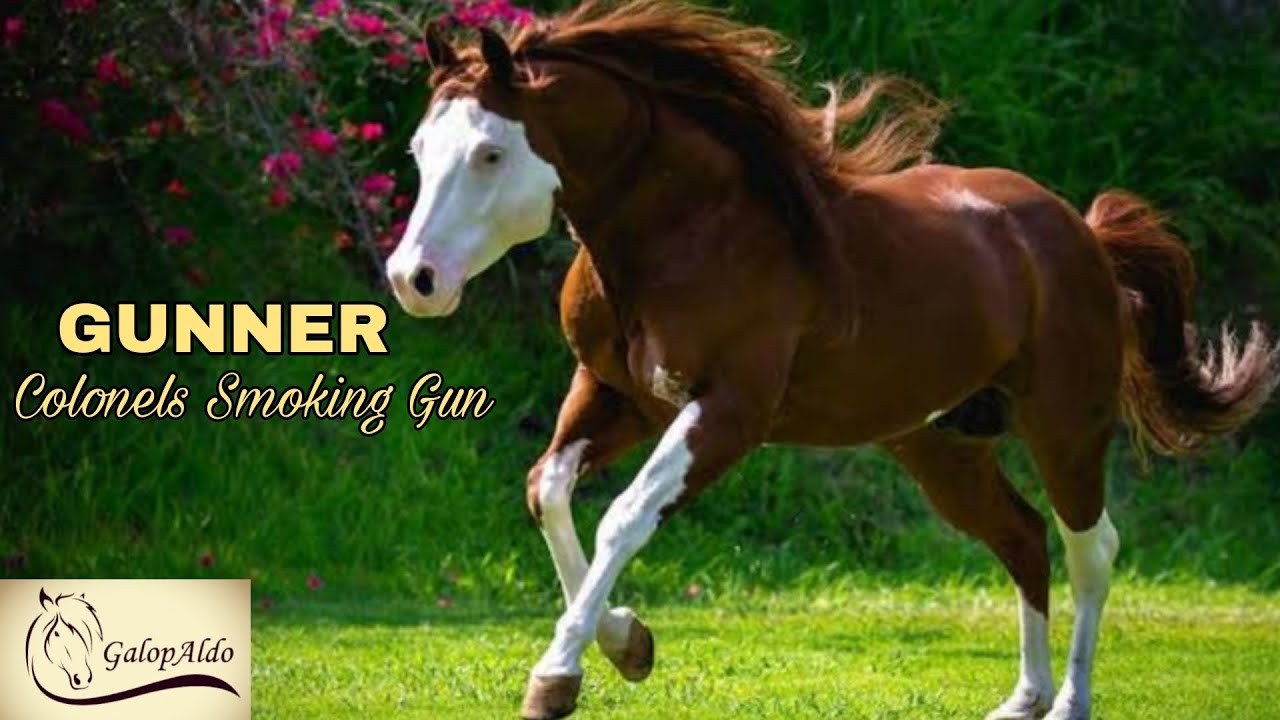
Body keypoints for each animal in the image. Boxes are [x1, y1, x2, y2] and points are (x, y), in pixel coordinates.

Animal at [384, 3, 1280, 718]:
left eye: (490, 153)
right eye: (423, 148)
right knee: (1022, 537)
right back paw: (1021, 699)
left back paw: (1068, 703)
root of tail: (1080, 233)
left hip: (1065, 426)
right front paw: (629, 643)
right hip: (939, 444)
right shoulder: (614, 395)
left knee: (1091, 549)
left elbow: (623, 517)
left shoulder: (729, 412)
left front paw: (558, 676)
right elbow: (550, 491)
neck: (690, 232)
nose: (413, 279)